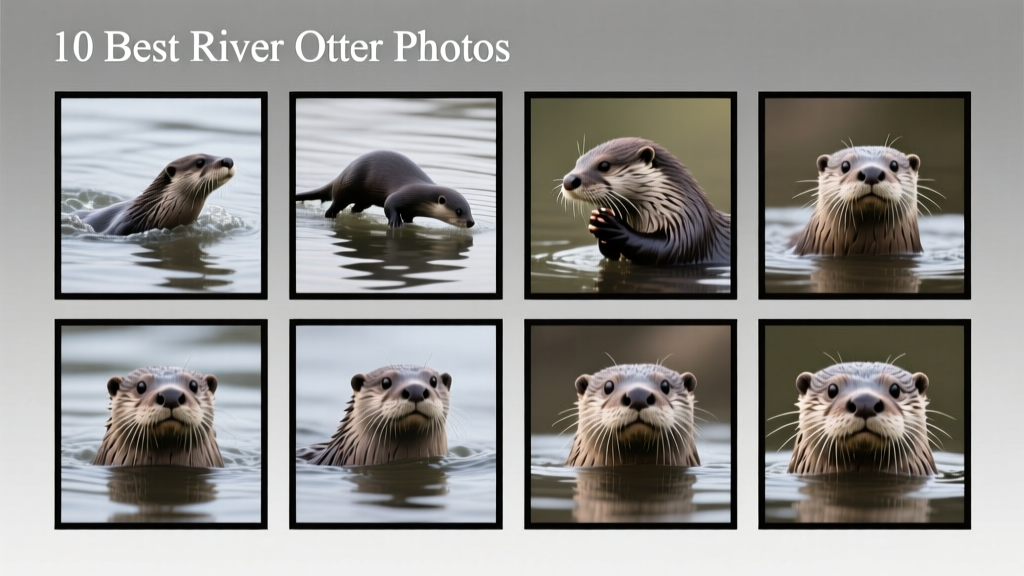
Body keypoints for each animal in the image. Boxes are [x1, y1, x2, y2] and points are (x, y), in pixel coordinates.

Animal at [295, 150, 475, 228]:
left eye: (469, 210)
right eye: (459, 211)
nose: (471, 222)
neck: (422, 197)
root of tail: (341, 175)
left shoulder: (411, 208)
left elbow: (409, 216)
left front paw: (409, 223)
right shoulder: (404, 195)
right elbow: (390, 203)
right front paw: (395, 222)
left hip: (364, 199)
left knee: (356, 206)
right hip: (346, 187)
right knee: (335, 204)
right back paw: (331, 216)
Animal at [559, 137, 730, 265]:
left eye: (604, 165)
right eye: (578, 162)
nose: (568, 181)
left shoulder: (691, 232)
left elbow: (666, 249)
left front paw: (612, 225)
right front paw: (597, 221)